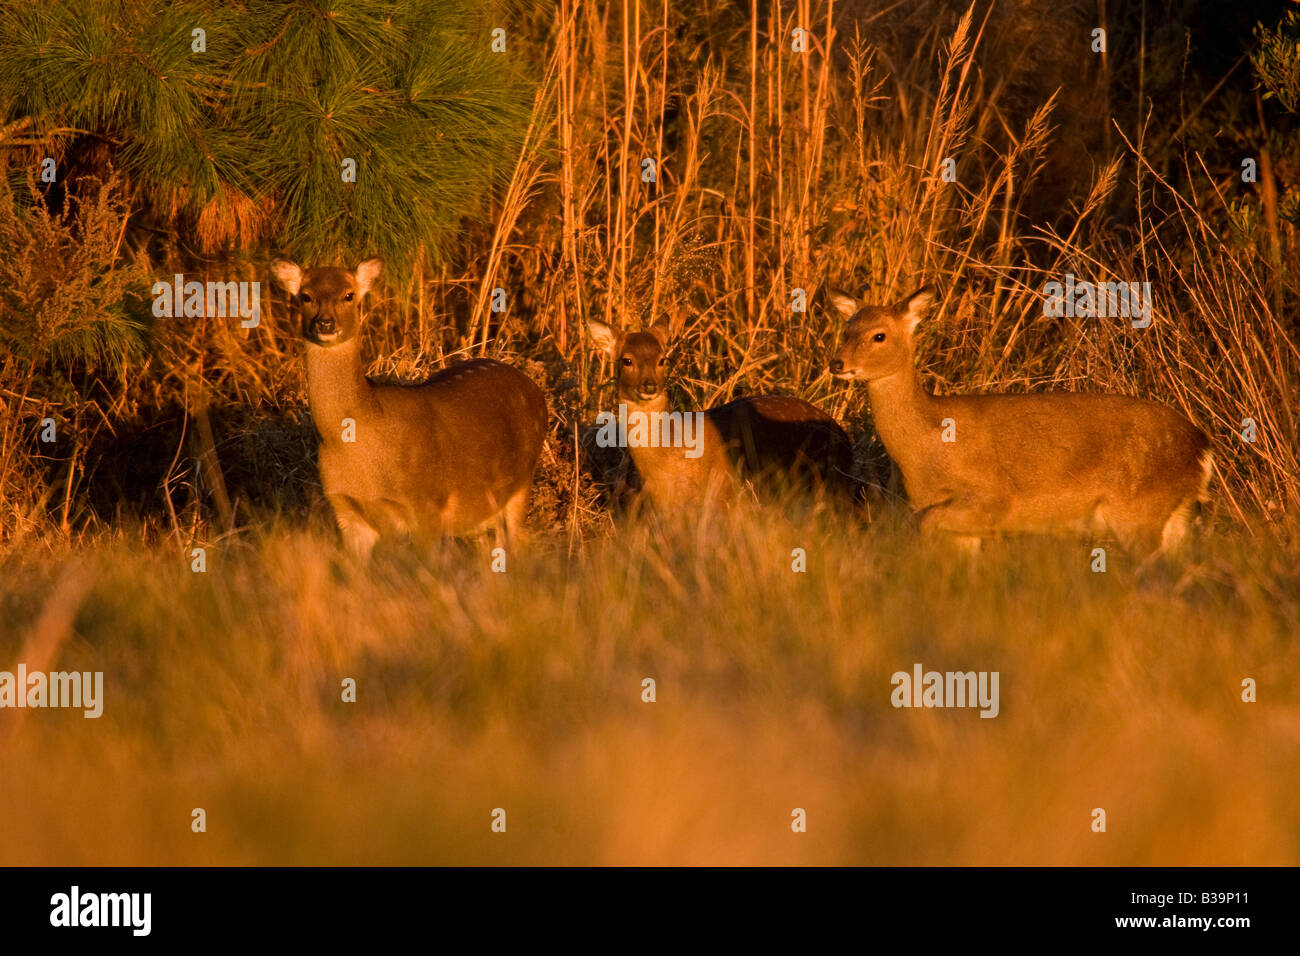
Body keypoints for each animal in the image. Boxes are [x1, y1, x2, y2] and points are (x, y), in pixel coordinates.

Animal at [271, 258, 548, 558]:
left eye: (349, 295)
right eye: (306, 296)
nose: (325, 323)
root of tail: (536, 391)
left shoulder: (428, 504)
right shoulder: (346, 511)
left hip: (521, 484)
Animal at [828, 285, 1212, 557]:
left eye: (879, 335)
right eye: (846, 331)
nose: (837, 363)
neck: (928, 445)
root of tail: (1201, 448)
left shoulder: (993, 497)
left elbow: (924, 523)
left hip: (1139, 510)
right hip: (1173, 515)